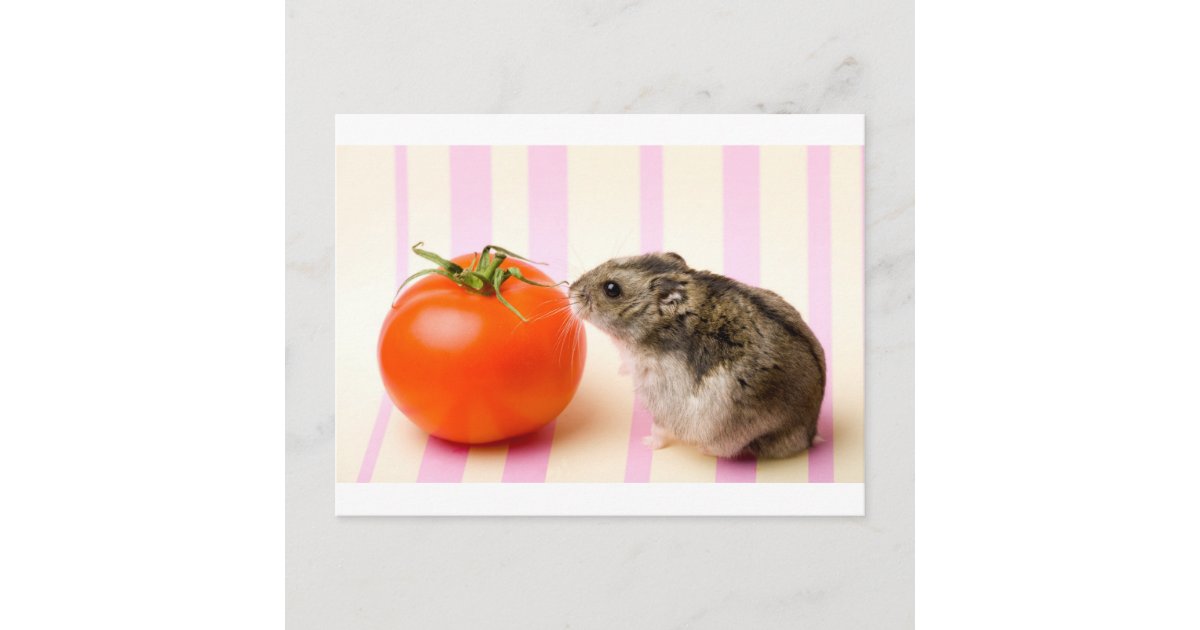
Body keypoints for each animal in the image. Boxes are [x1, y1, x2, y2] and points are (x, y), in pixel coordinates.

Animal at [569, 252, 825, 459]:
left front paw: (646, 443)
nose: (570, 290)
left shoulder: (659, 394)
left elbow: (659, 429)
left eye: (612, 289)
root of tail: (811, 431)